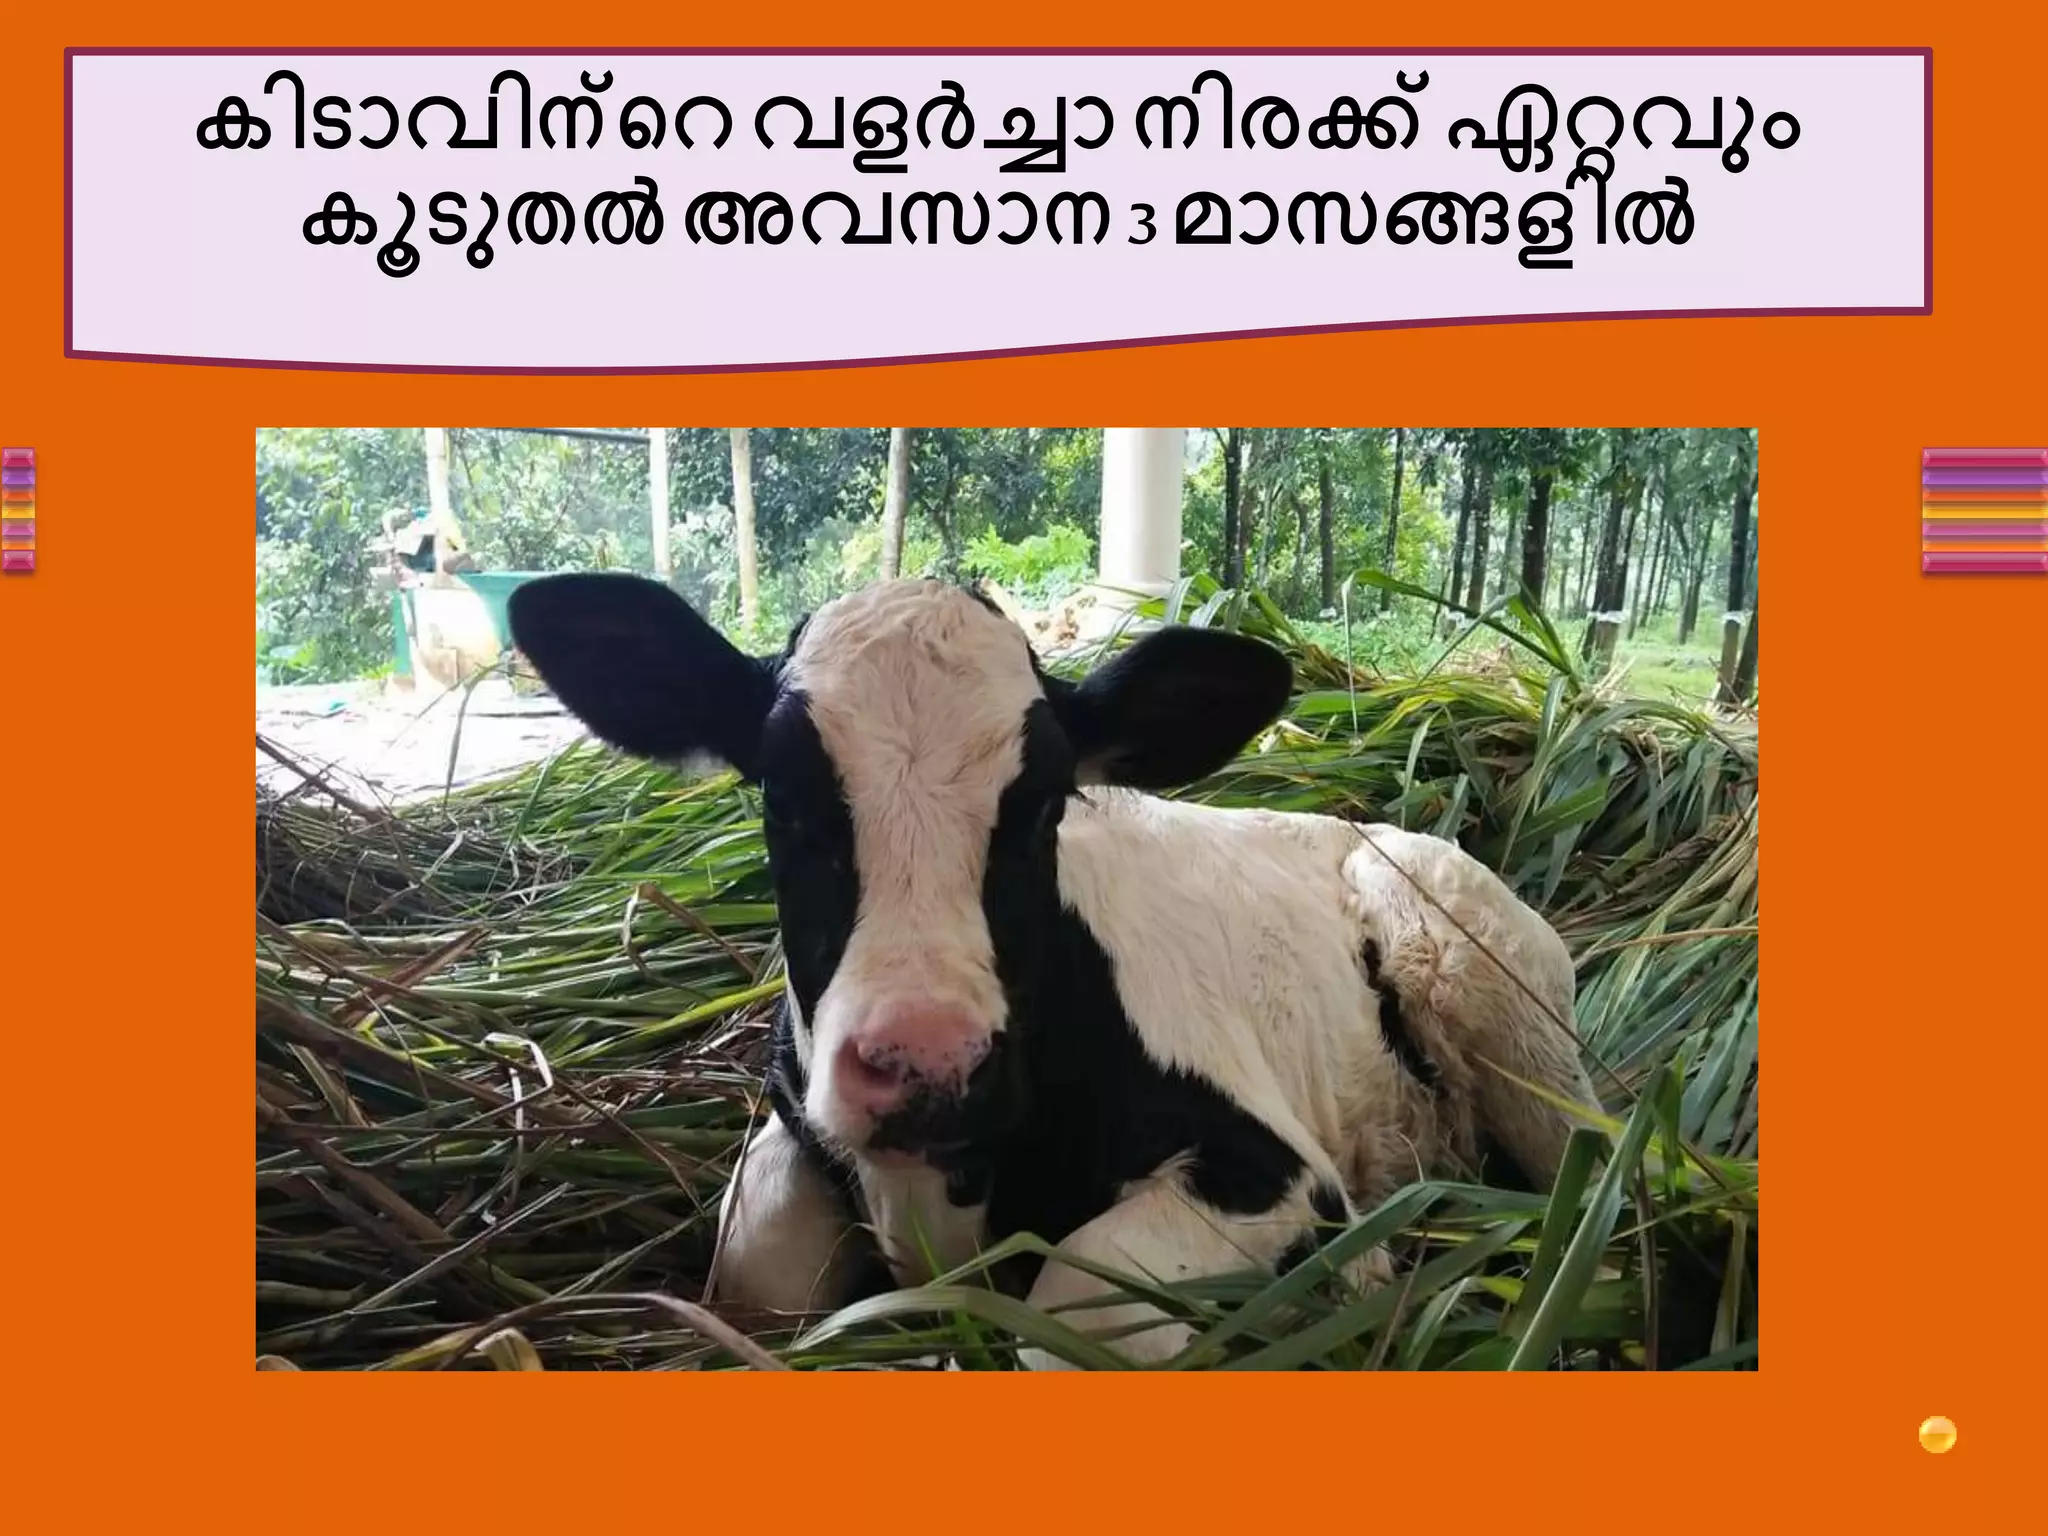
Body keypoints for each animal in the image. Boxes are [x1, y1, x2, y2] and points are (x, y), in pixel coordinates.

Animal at [508, 573, 1600, 1367]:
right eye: (782, 801)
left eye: (1042, 805)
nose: (927, 1063)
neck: (949, 1185)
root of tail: (1372, 828)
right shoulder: (793, 1128)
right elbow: (758, 1270)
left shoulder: (1274, 1166)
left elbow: (1076, 1303)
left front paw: (1355, 1283)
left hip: (1500, 1010)